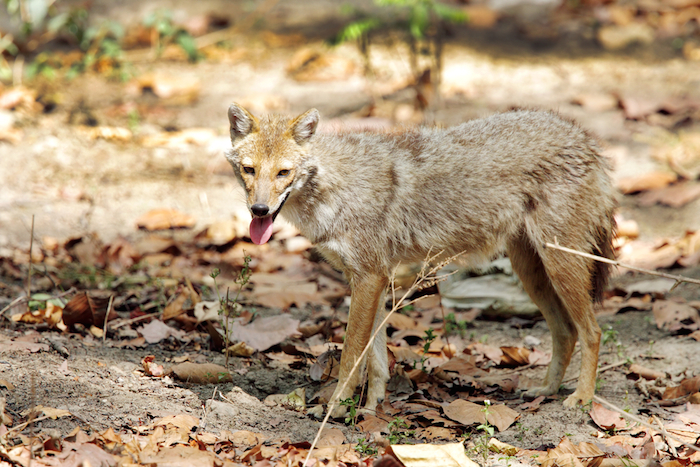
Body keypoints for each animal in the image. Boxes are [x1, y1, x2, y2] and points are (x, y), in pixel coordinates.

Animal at [225, 103, 616, 418]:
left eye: (283, 172)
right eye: (249, 170)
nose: (259, 210)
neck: (336, 187)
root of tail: (585, 137)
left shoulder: (369, 278)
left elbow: (352, 355)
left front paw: (336, 407)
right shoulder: (372, 279)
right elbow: (376, 360)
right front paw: (370, 408)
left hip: (559, 265)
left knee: (592, 331)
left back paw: (581, 398)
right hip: (531, 272)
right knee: (566, 331)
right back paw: (546, 391)